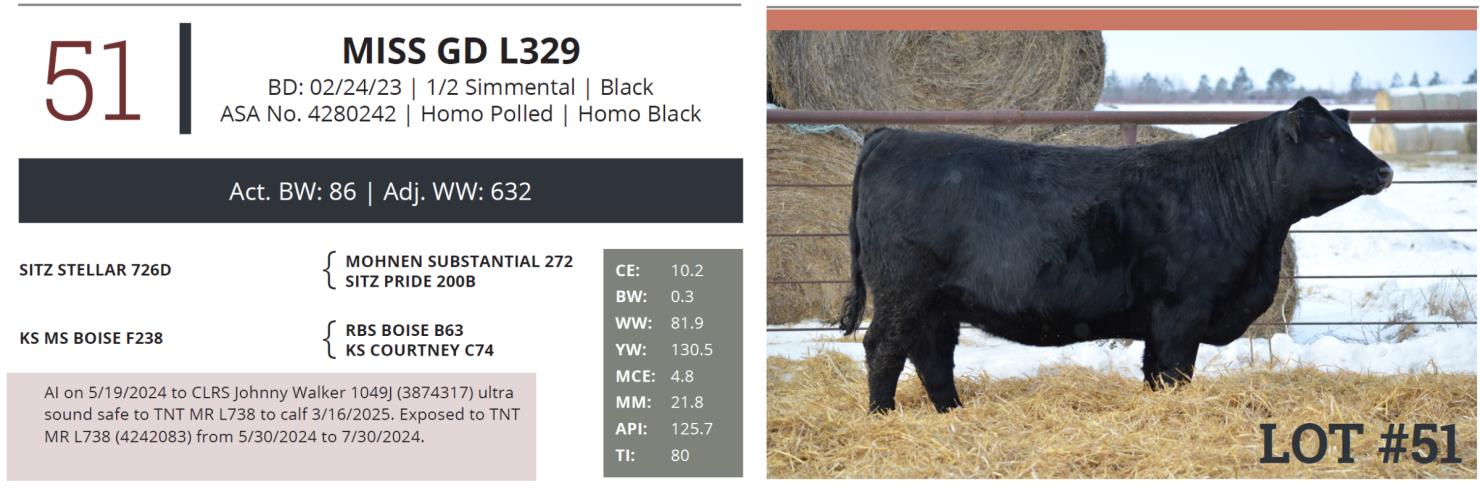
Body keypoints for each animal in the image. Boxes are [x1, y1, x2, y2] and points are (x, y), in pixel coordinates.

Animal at [837, 97, 1392, 413]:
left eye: (1347, 130)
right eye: (1327, 136)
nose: (1385, 169)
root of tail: (892, 135)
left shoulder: (1162, 320)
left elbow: (1155, 373)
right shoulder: (1182, 311)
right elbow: (1173, 372)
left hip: (937, 301)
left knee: (932, 354)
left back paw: (952, 413)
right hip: (903, 291)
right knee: (883, 348)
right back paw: (881, 416)